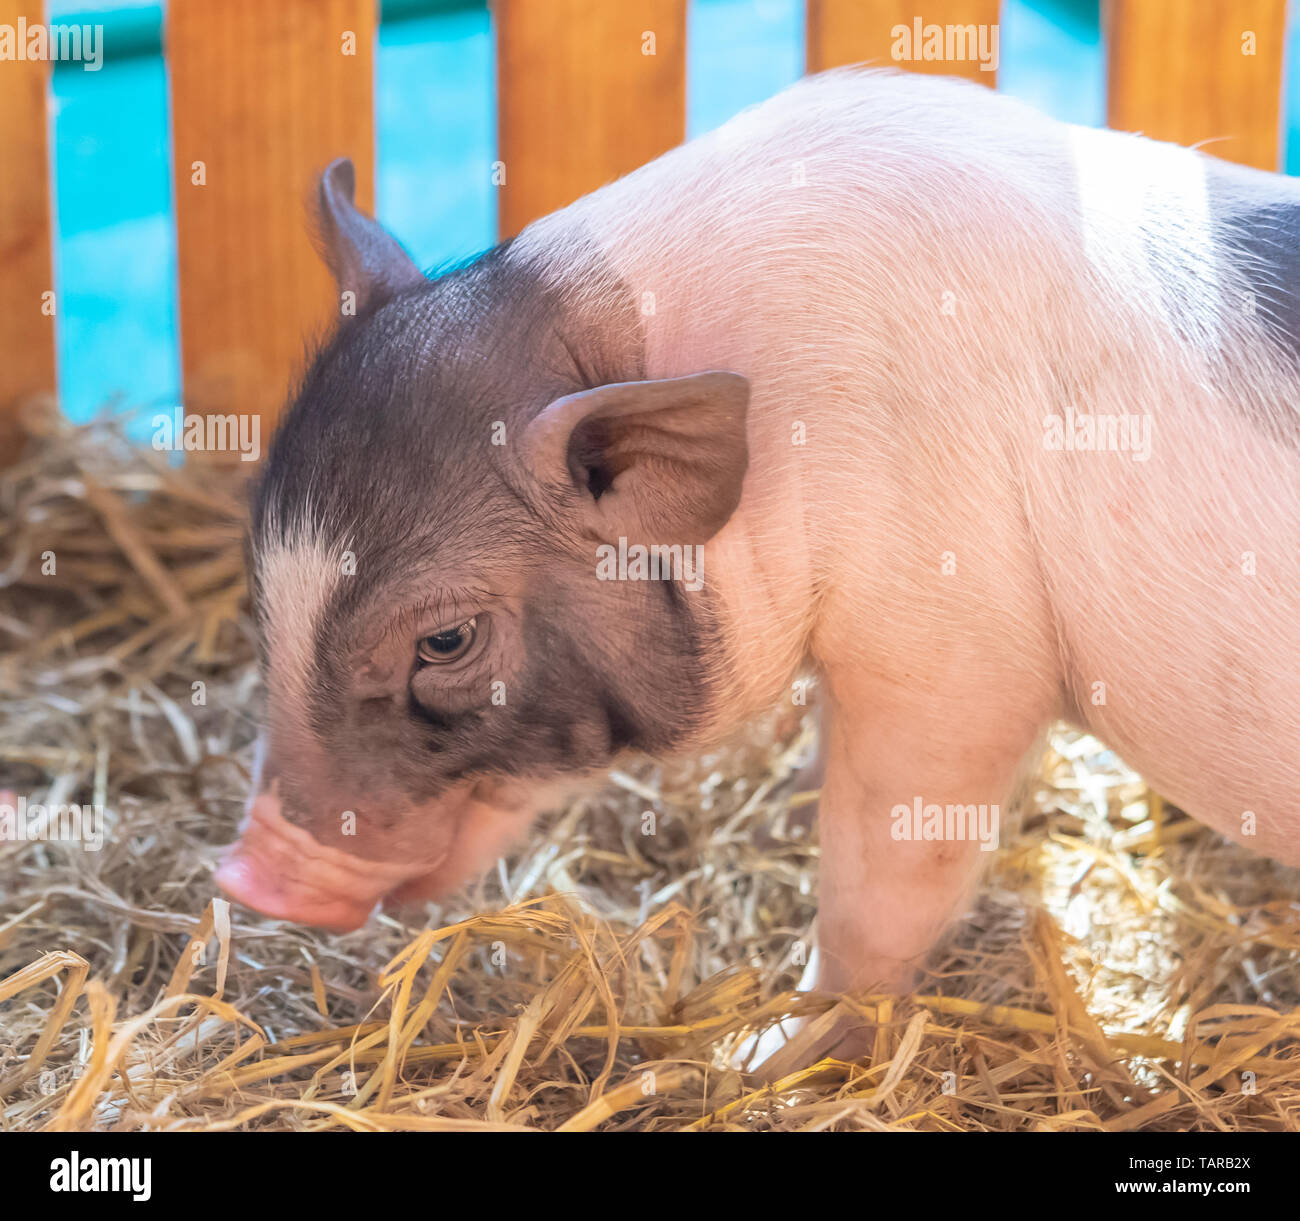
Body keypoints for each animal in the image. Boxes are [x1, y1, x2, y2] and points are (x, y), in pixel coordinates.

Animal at [217, 68, 1300, 1060]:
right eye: (263, 573)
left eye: (445, 640)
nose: (245, 872)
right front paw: (789, 802)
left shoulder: (958, 667)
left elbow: (882, 869)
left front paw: (770, 1053)